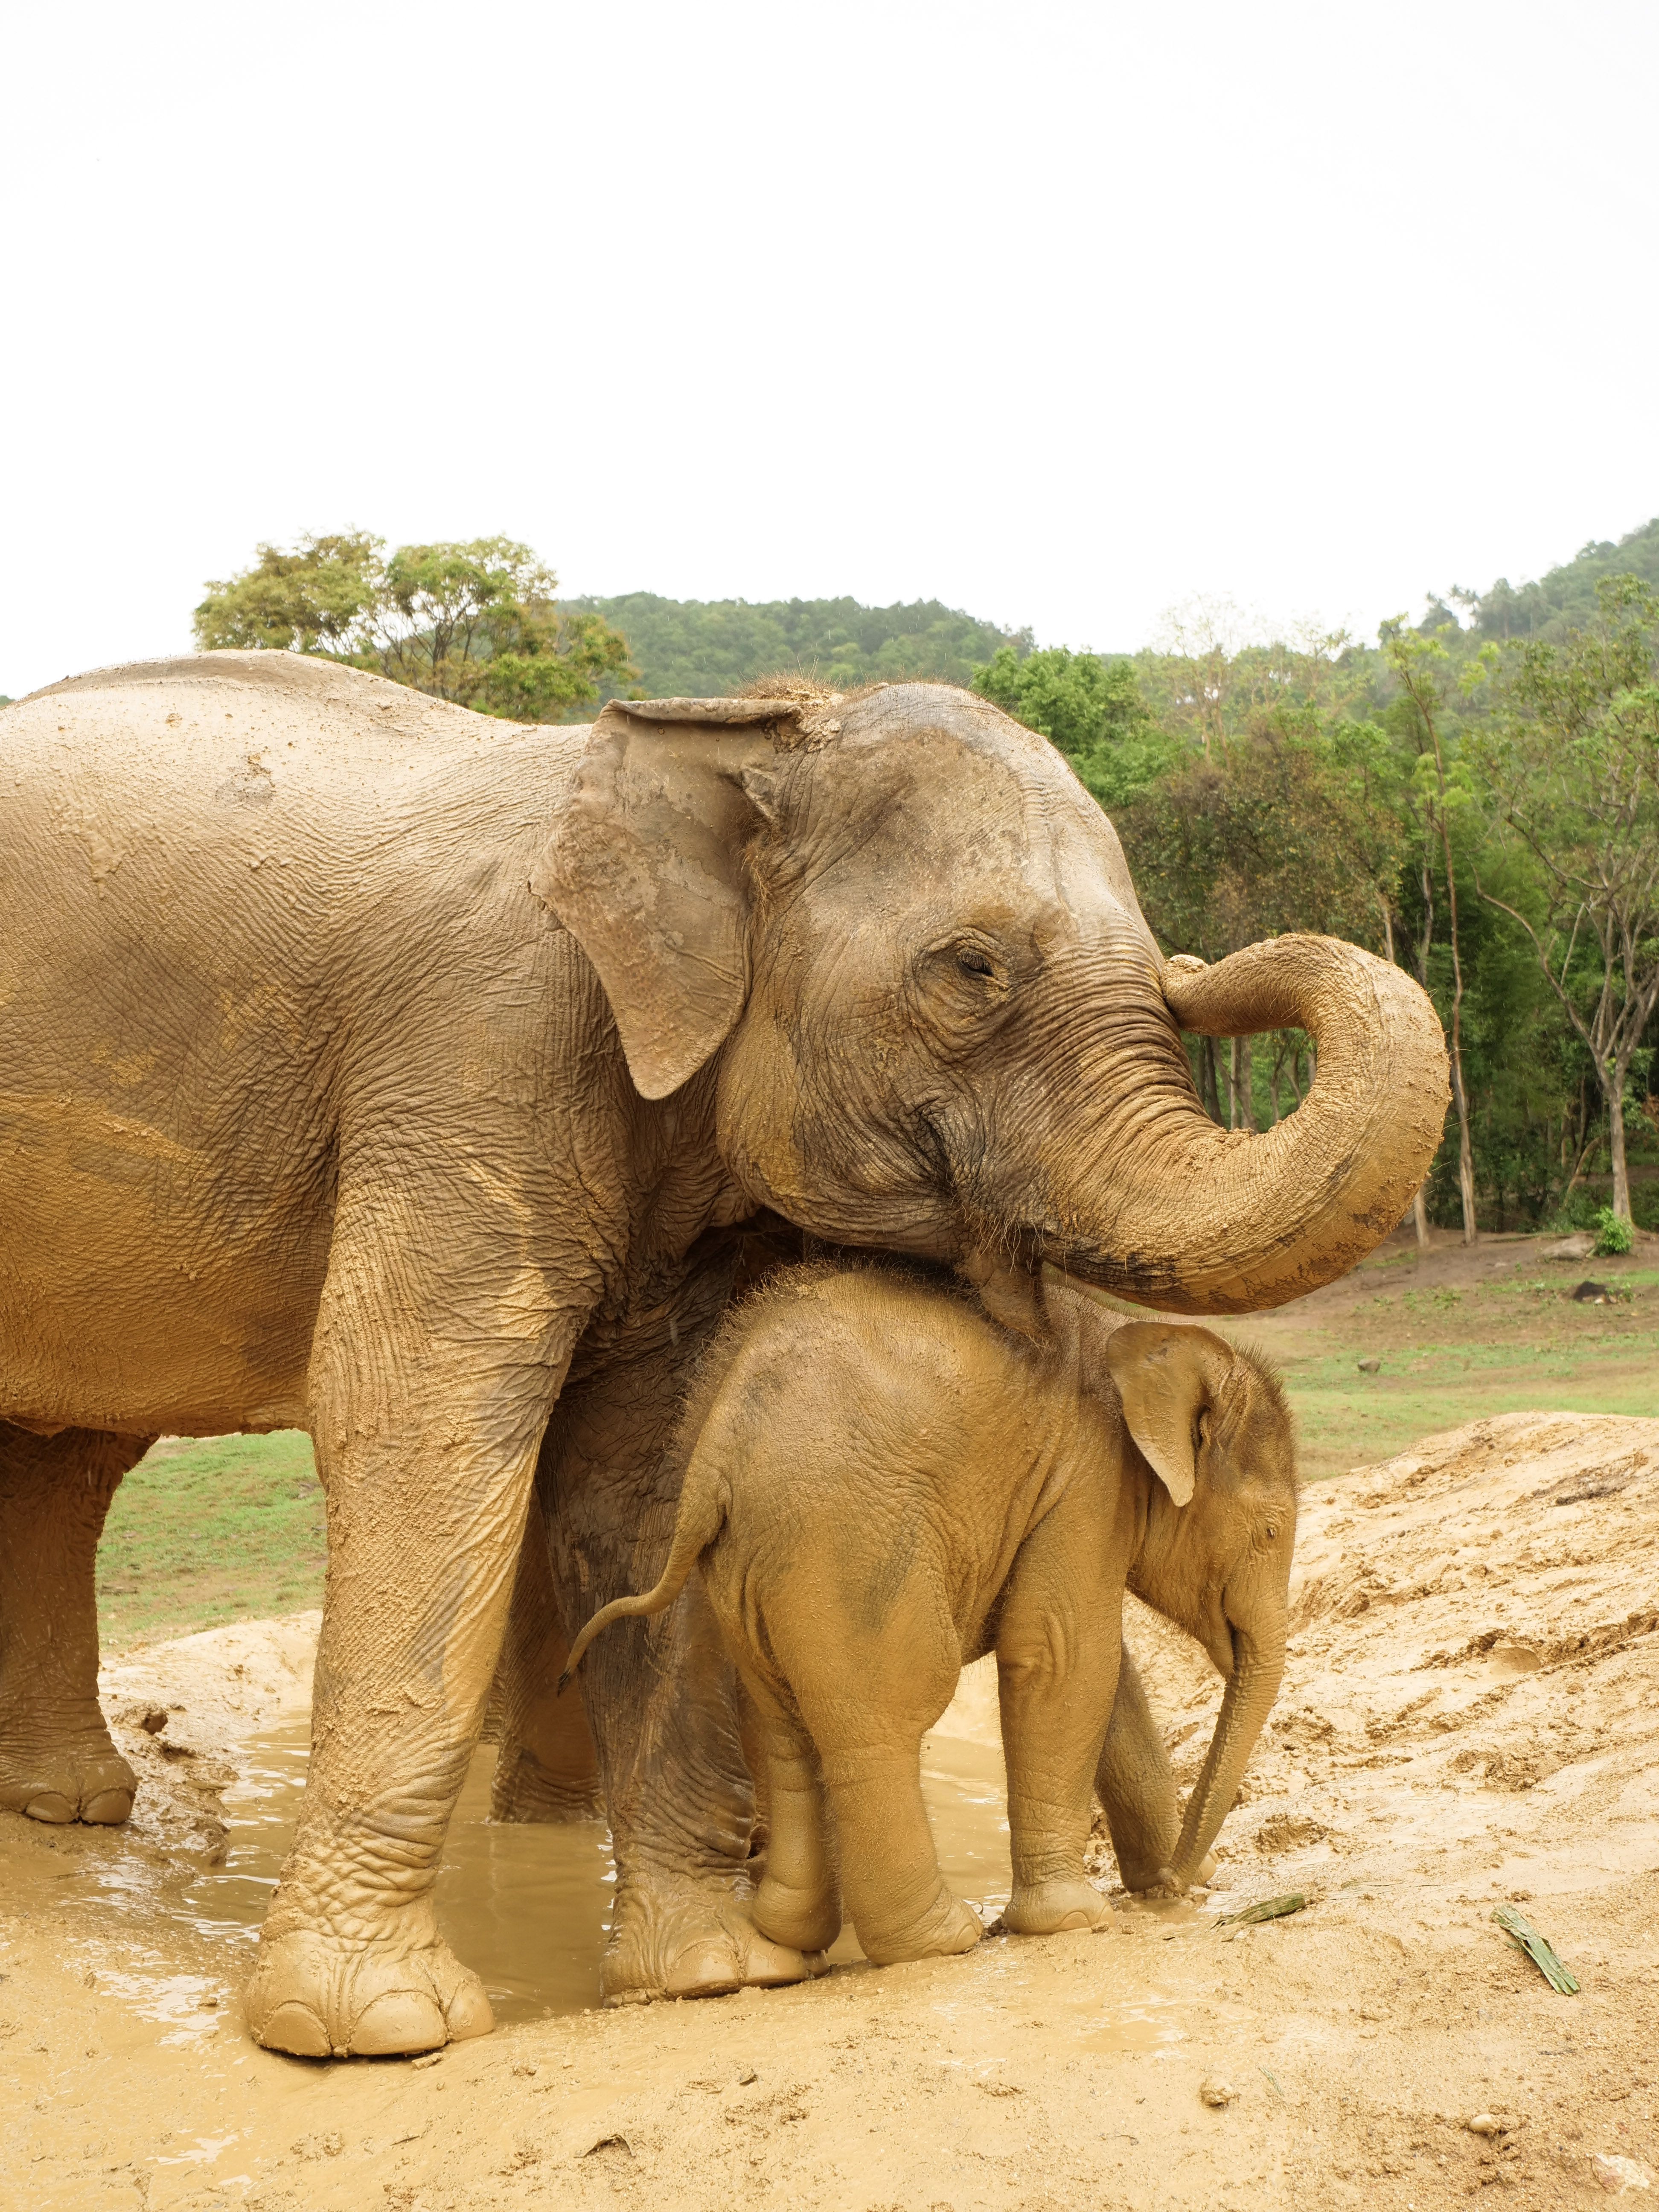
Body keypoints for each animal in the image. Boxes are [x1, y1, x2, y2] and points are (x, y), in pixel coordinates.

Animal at [561, 1264, 1295, 1963]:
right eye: (1268, 1533)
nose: (1180, 1884)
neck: (1140, 1343)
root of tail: (713, 1462)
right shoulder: (1087, 1481)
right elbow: (1063, 1654)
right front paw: (1076, 1920)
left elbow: (1103, 1665)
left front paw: (1163, 1883)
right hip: (847, 1545)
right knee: (889, 1712)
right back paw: (943, 1938)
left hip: (747, 1568)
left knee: (783, 1721)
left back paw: (793, 1934)